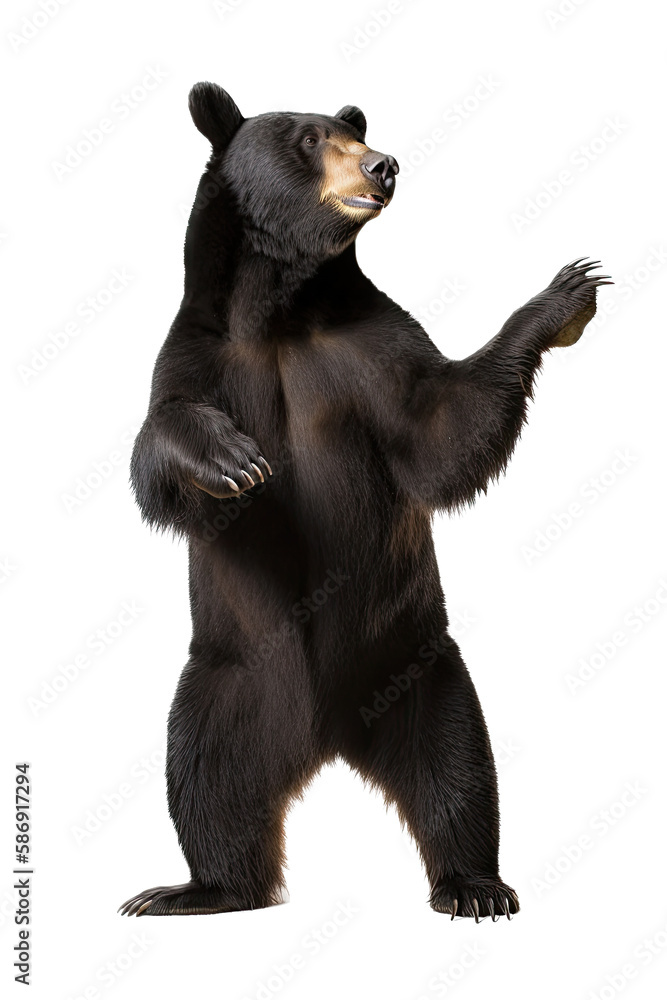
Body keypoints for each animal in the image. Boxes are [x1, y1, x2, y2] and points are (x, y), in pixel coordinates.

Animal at [119, 82, 609, 920]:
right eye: (308, 139)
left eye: (349, 132)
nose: (383, 165)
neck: (283, 314)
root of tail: (325, 732)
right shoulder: (199, 351)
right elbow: (162, 456)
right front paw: (233, 459)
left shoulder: (373, 350)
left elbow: (441, 433)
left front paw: (563, 296)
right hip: (229, 682)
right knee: (206, 775)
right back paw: (201, 889)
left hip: (419, 666)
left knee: (457, 770)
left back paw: (473, 884)